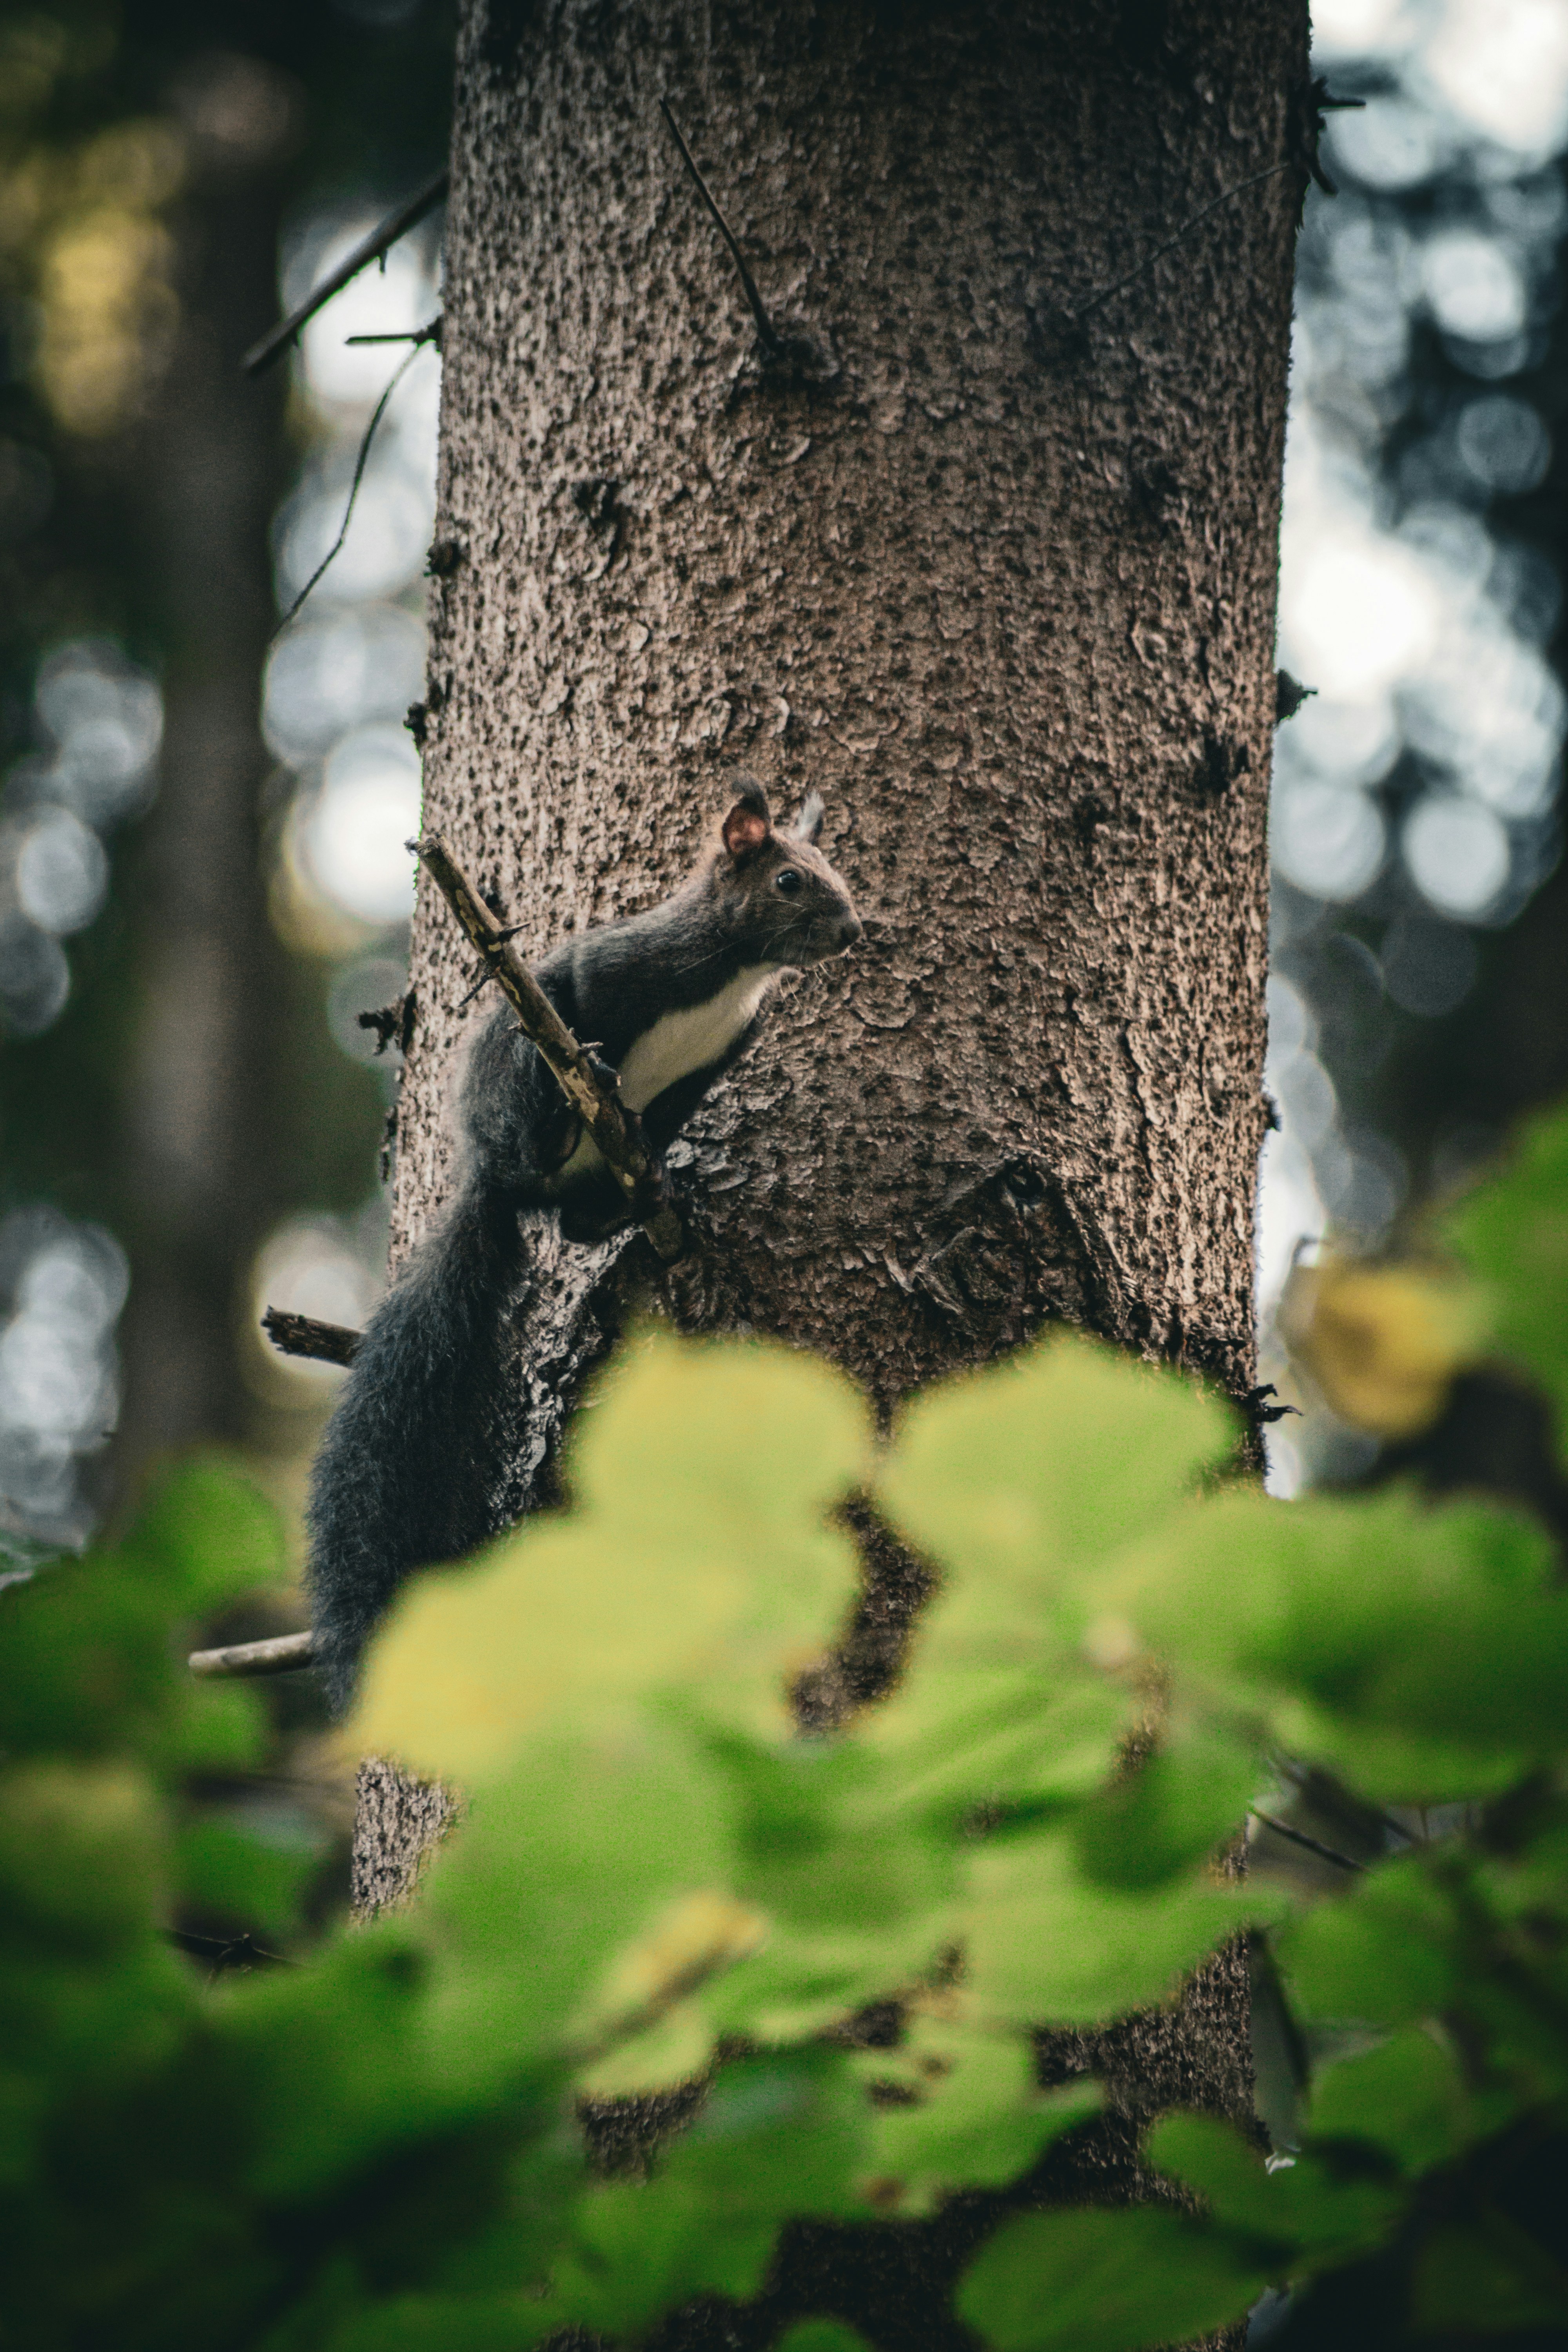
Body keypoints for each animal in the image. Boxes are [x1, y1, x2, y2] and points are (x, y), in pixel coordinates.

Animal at [306, 778, 862, 1712]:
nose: (854, 929)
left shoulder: (711, 1065)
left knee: (574, 1222)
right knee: (535, 1104)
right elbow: (577, 998)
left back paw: (631, 1207)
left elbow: (670, 1115)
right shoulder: (609, 972)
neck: (735, 973)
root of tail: (494, 1185)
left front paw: (668, 1182)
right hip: (511, 1083)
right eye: (790, 880)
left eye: (835, 873)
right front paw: (598, 1074)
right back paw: (569, 1111)